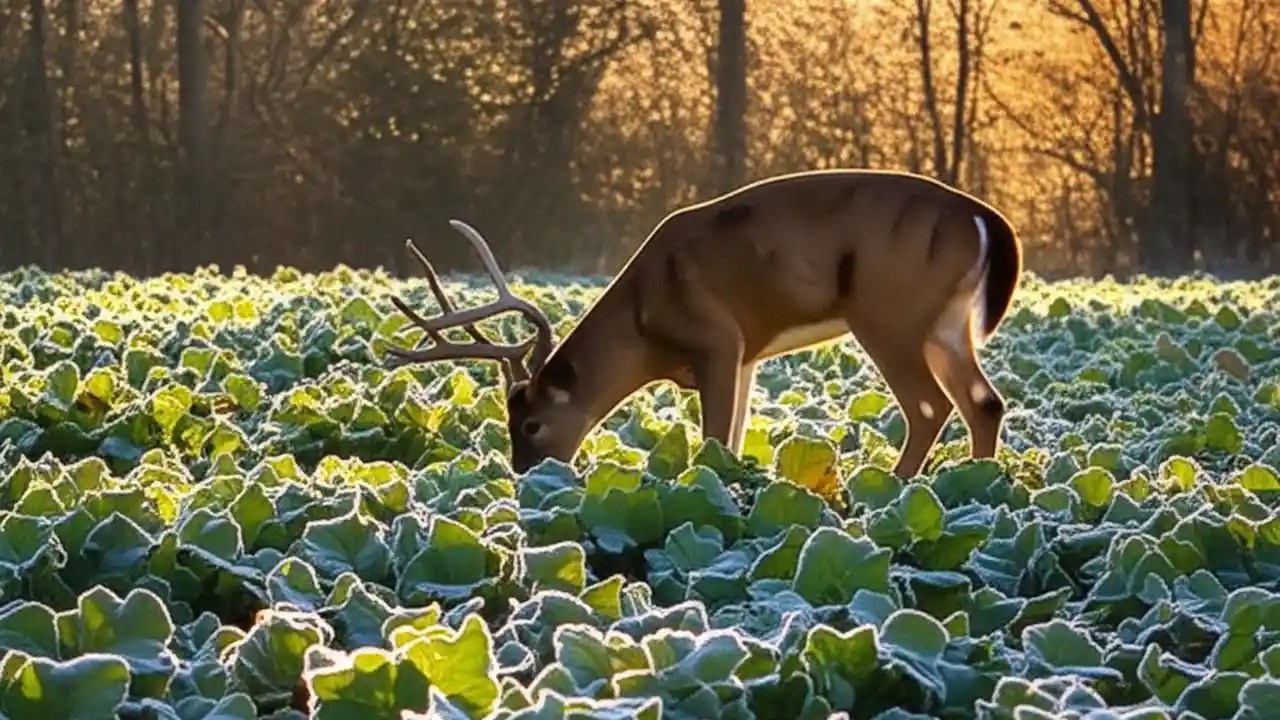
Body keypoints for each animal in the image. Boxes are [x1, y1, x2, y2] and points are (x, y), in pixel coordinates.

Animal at [382, 169, 1022, 479]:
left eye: (533, 424)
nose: (522, 476)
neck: (645, 322)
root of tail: (984, 218)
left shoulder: (717, 339)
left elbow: (714, 439)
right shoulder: (747, 356)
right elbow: (734, 438)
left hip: (890, 313)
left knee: (930, 406)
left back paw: (890, 490)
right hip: (945, 326)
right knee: (984, 402)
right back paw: (981, 490)